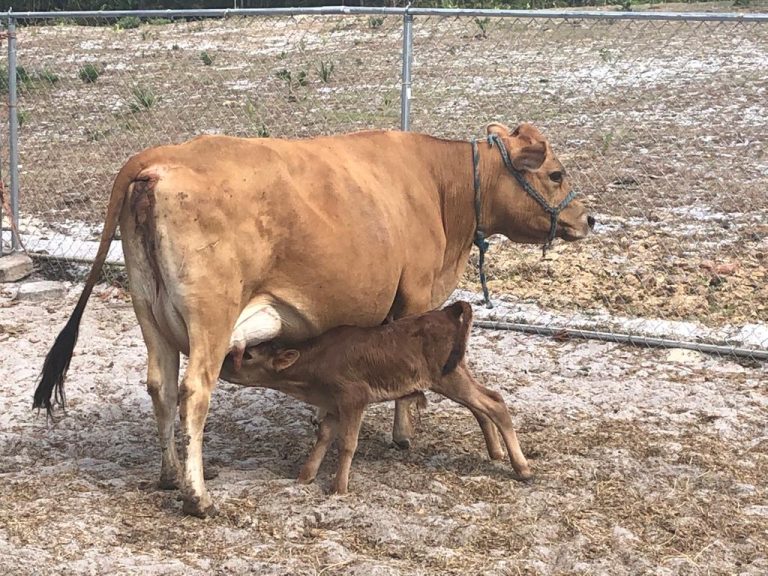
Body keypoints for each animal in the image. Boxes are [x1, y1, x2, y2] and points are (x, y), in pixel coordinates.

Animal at [219, 301, 532, 494]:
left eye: (248, 355)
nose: (221, 365)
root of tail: (446, 312)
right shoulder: (333, 405)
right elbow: (323, 438)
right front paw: (304, 477)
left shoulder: (353, 397)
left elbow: (347, 443)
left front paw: (339, 488)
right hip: (457, 372)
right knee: (485, 401)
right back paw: (497, 453)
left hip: (448, 377)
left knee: (494, 403)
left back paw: (523, 468)